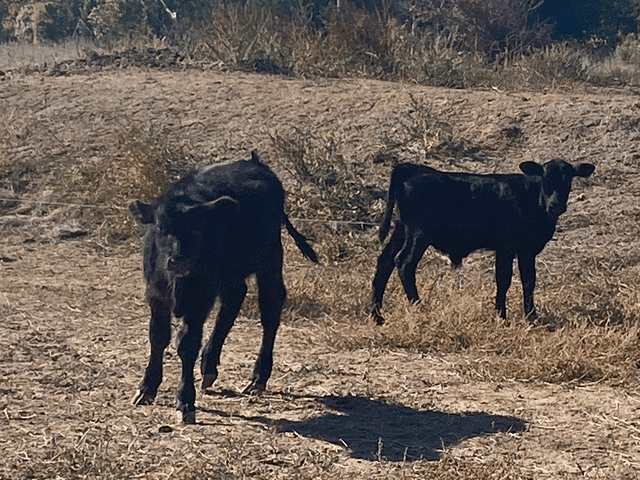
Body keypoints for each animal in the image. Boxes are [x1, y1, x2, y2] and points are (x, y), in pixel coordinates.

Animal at [129, 151, 318, 424]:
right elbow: (157, 337)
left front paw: (185, 400)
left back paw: (257, 378)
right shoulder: (156, 294)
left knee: (270, 308)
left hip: (270, 256)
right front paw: (147, 388)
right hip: (233, 272)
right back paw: (209, 365)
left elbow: (187, 344)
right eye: (161, 226)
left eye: (198, 228)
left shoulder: (200, 296)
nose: (178, 259)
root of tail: (254, 161)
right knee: (234, 299)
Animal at [370, 159, 595, 326]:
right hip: (418, 234)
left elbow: (529, 280)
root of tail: (411, 169)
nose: (556, 205)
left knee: (384, 262)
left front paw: (531, 317)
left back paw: (377, 315)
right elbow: (503, 279)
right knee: (404, 263)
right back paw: (419, 307)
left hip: (401, 229)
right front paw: (502, 317)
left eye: (569, 181)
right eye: (545, 179)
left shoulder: (527, 249)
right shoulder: (506, 246)